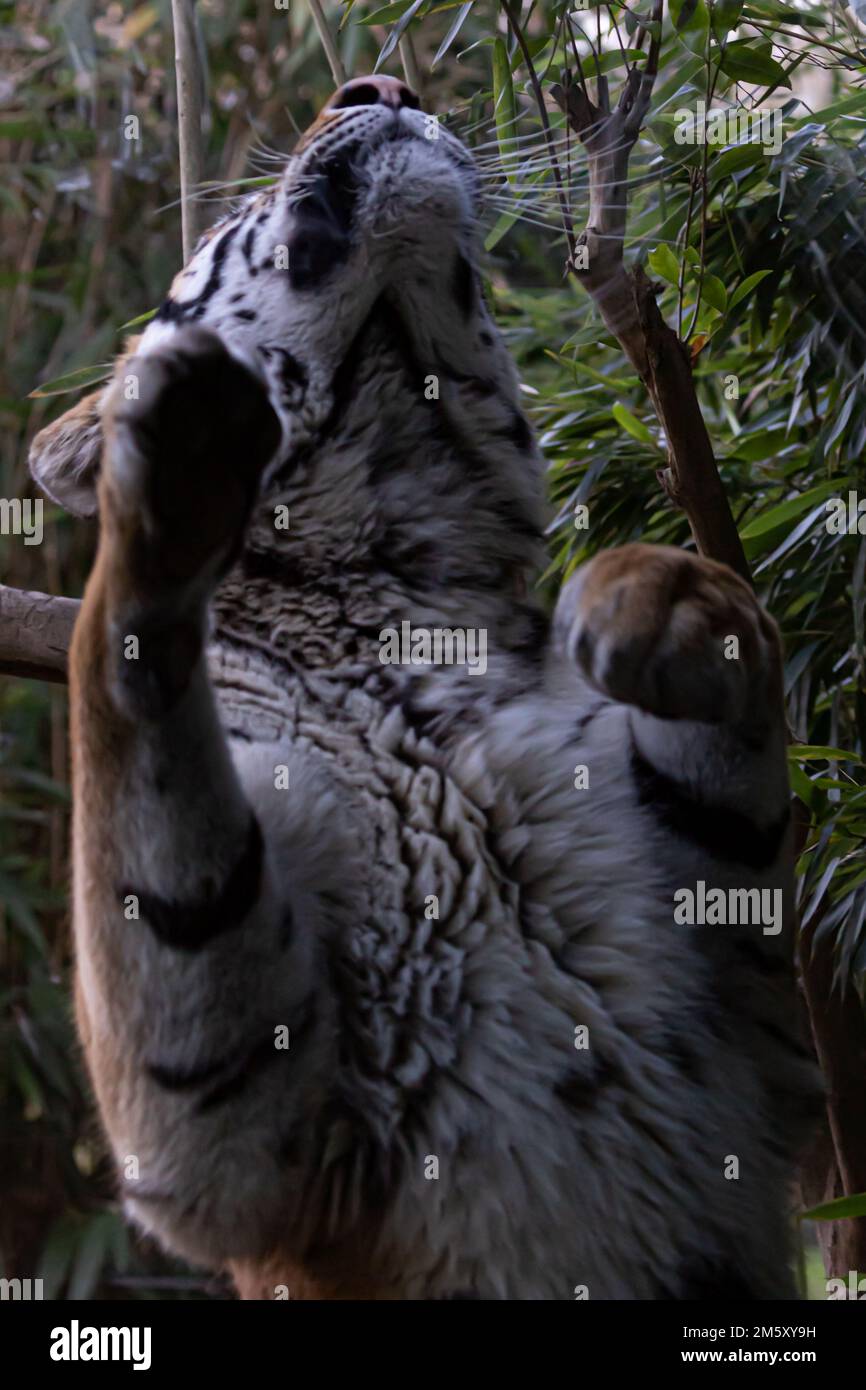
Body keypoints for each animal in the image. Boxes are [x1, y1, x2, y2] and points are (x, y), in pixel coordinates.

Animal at [29, 74, 819, 1300]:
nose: (380, 86)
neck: (400, 585)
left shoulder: (754, 1006)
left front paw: (650, 601)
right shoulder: (233, 1148)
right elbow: (127, 716)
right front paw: (174, 457)